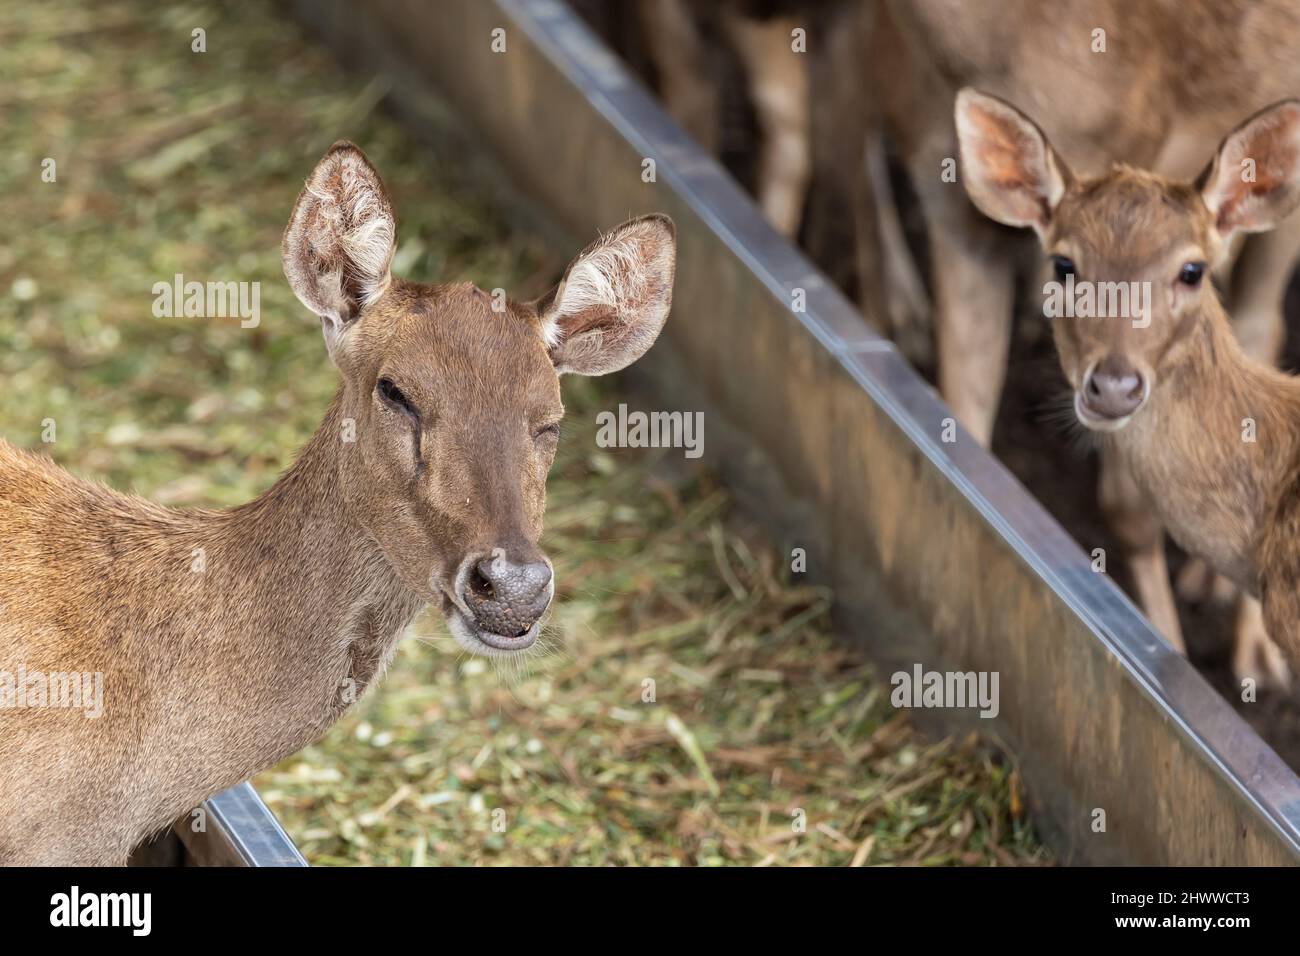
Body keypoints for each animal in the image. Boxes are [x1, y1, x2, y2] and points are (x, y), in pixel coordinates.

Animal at [875, 0, 1300, 690]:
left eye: (1192, 271)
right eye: (1064, 265)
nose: (1114, 384)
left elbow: (1126, 505)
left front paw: (1169, 653)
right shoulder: (937, 170)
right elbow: (963, 417)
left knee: (1265, 315)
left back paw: (1251, 649)